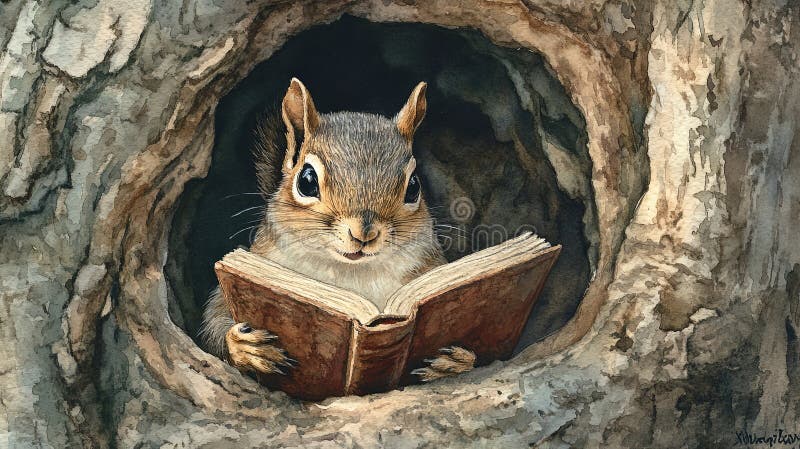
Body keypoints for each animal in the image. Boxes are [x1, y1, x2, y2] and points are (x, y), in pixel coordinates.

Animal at [200, 78, 475, 383]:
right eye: (307, 181)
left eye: (414, 186)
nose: (364, 234)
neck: (349, 272)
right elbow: (214, 321)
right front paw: (243, 346)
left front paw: (456, 361)